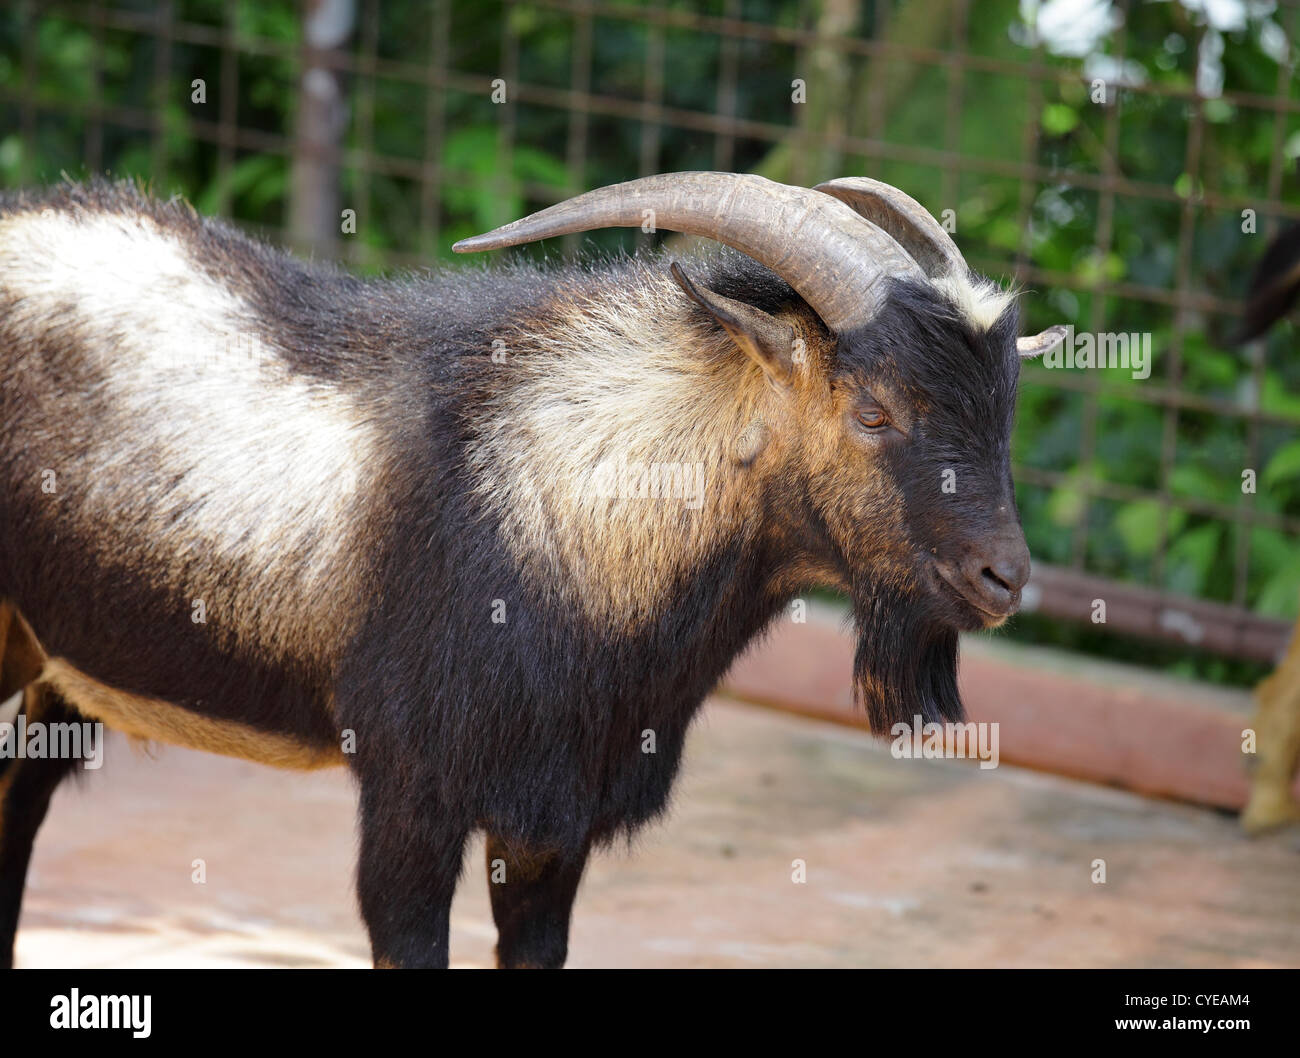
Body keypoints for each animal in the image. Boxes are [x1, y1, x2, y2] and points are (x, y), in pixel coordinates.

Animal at [0, 172, 1063, 968]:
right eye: (874, 411)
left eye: (1005, 407)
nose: (1005, 580)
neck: (557, 495)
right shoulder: (412, 797)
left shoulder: (551, 824)